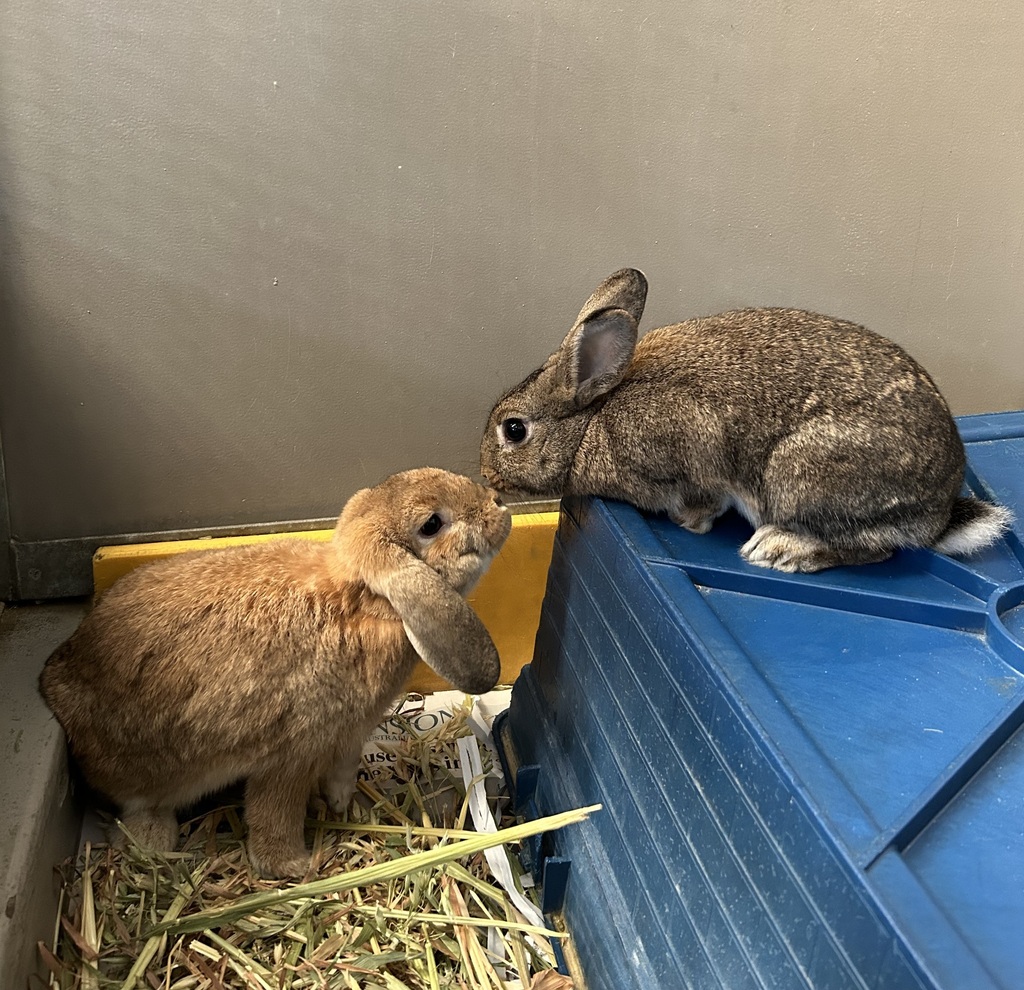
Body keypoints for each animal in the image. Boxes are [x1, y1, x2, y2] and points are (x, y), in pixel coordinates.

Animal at [39, 468, 510, 877]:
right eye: (432, 524)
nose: (498, 505)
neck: (363, 603)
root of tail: (54, 688)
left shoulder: (348, 736)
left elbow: (343, 769)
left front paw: (341, 804)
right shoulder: (292, 752)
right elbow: (274, 817)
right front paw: (298, 866)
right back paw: (155, 844)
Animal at [480, 268, 1011, 573]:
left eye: (514, 430)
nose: (486, 476)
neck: (592, 421)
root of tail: (938, 514)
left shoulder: (691, 445)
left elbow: (703, 495)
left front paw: (690, 522)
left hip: (800, 477)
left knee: (875, 549)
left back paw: (780, 551)